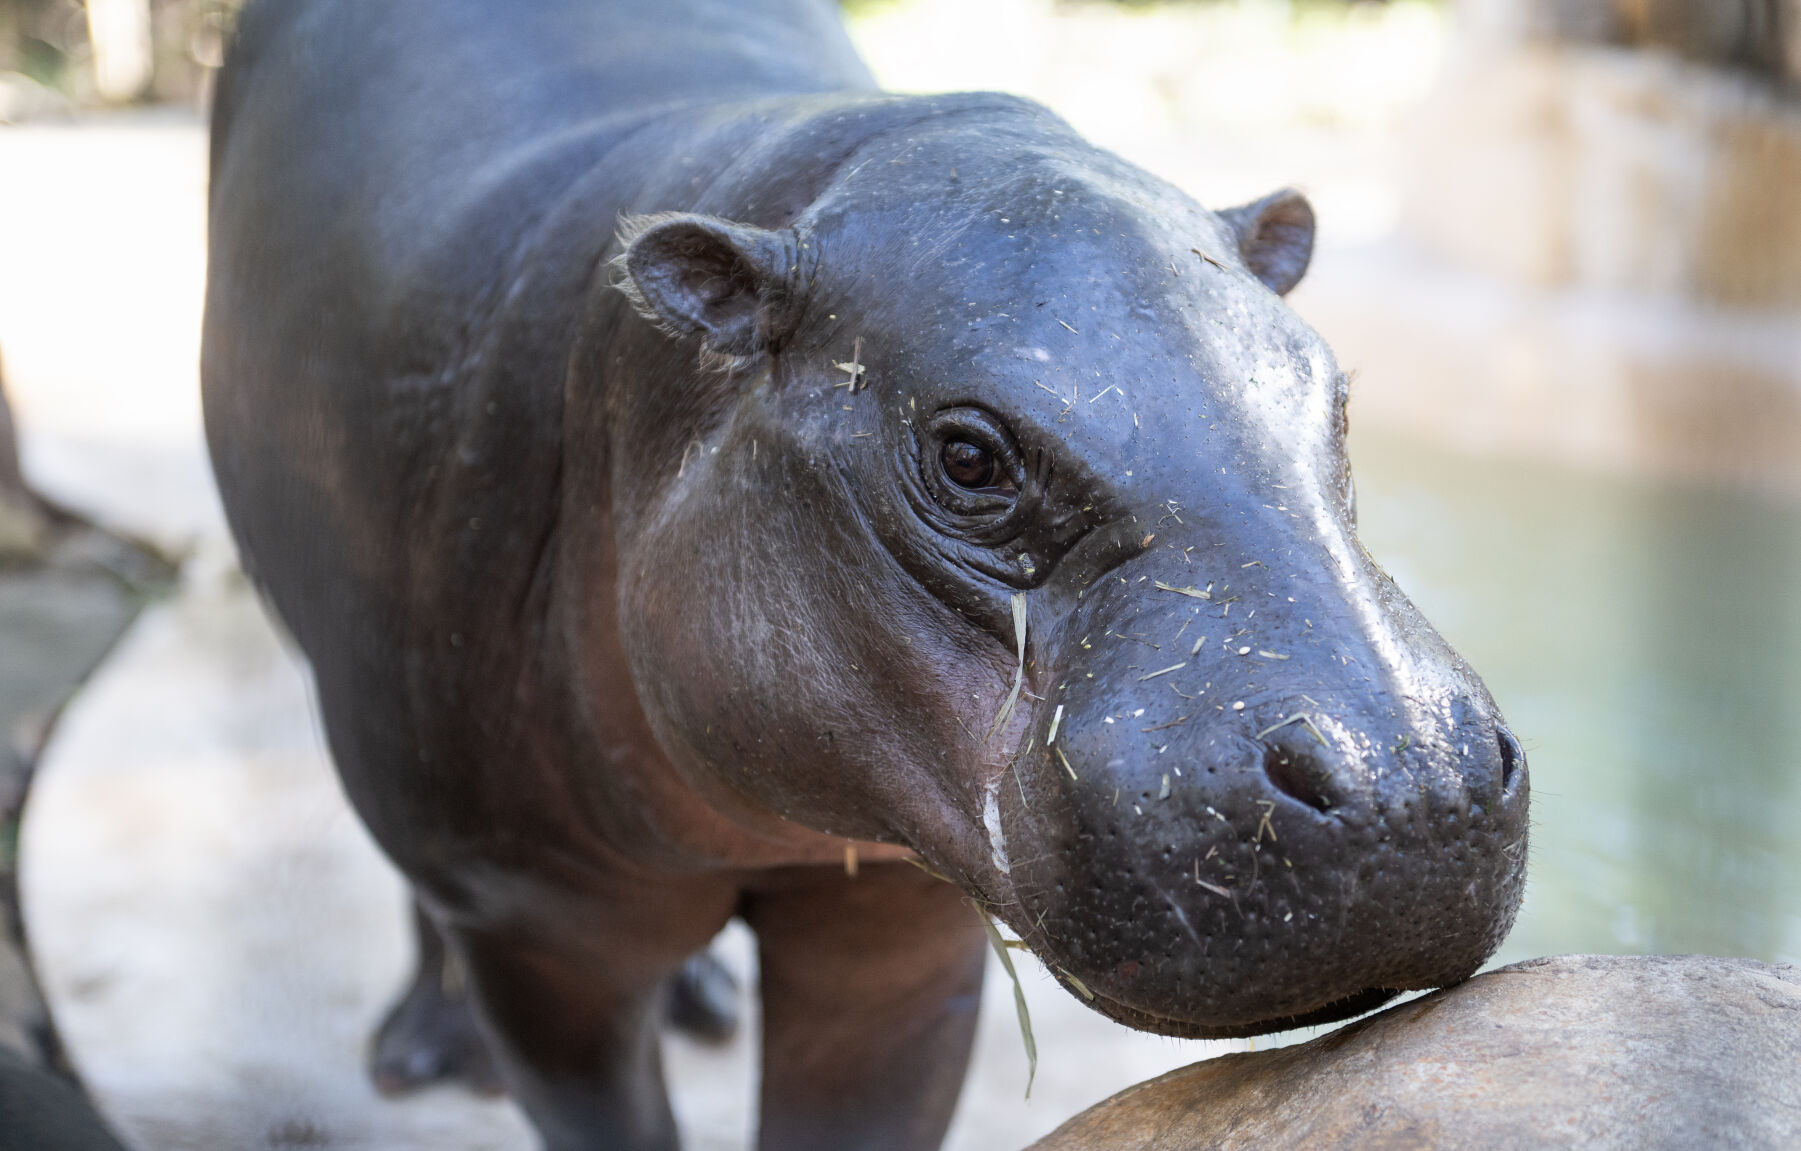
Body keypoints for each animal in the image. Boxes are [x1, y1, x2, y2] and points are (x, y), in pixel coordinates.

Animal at [201, 1, 1529, 1147]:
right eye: (967, 454)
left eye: (1336, 397)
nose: (1413, 777)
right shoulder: (545, 941)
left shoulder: (898, 931)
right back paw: (429, 1050)